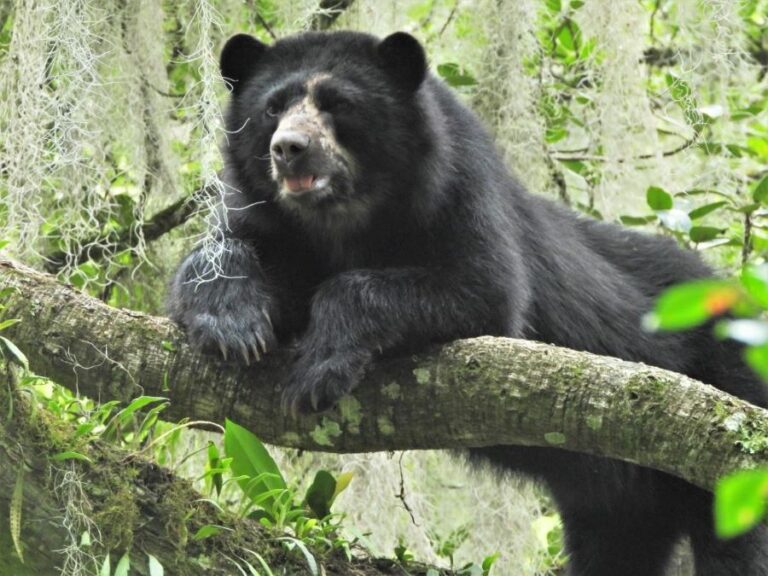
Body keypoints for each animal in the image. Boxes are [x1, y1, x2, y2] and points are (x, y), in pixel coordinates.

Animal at [168, 30, 768, 575]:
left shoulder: (459, 191)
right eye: (271, 108)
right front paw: (234, 330)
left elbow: (483, 291)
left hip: (733, 411)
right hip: (619, 500)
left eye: (339, 104)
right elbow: (215, 260)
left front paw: (317, 371)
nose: (289, 148)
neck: (342, 219)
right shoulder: (265, 220)